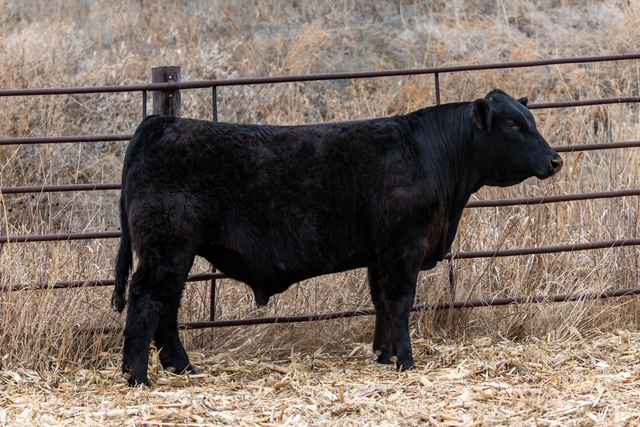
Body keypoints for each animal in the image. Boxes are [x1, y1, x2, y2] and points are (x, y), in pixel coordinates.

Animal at [112, 89, 562, 386]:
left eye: (530, 119)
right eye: (512, 123)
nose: (555, 160)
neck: (430, 157)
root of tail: (162, 122)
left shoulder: (380, 254)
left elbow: (382, 302)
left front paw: (384, 355)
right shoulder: (404, 247)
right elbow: (401, 302)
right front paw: (406, 361)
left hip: (174, 253)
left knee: (166, 306)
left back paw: (182, 368)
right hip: (166, 248)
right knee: (148, 300)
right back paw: (137, 376)